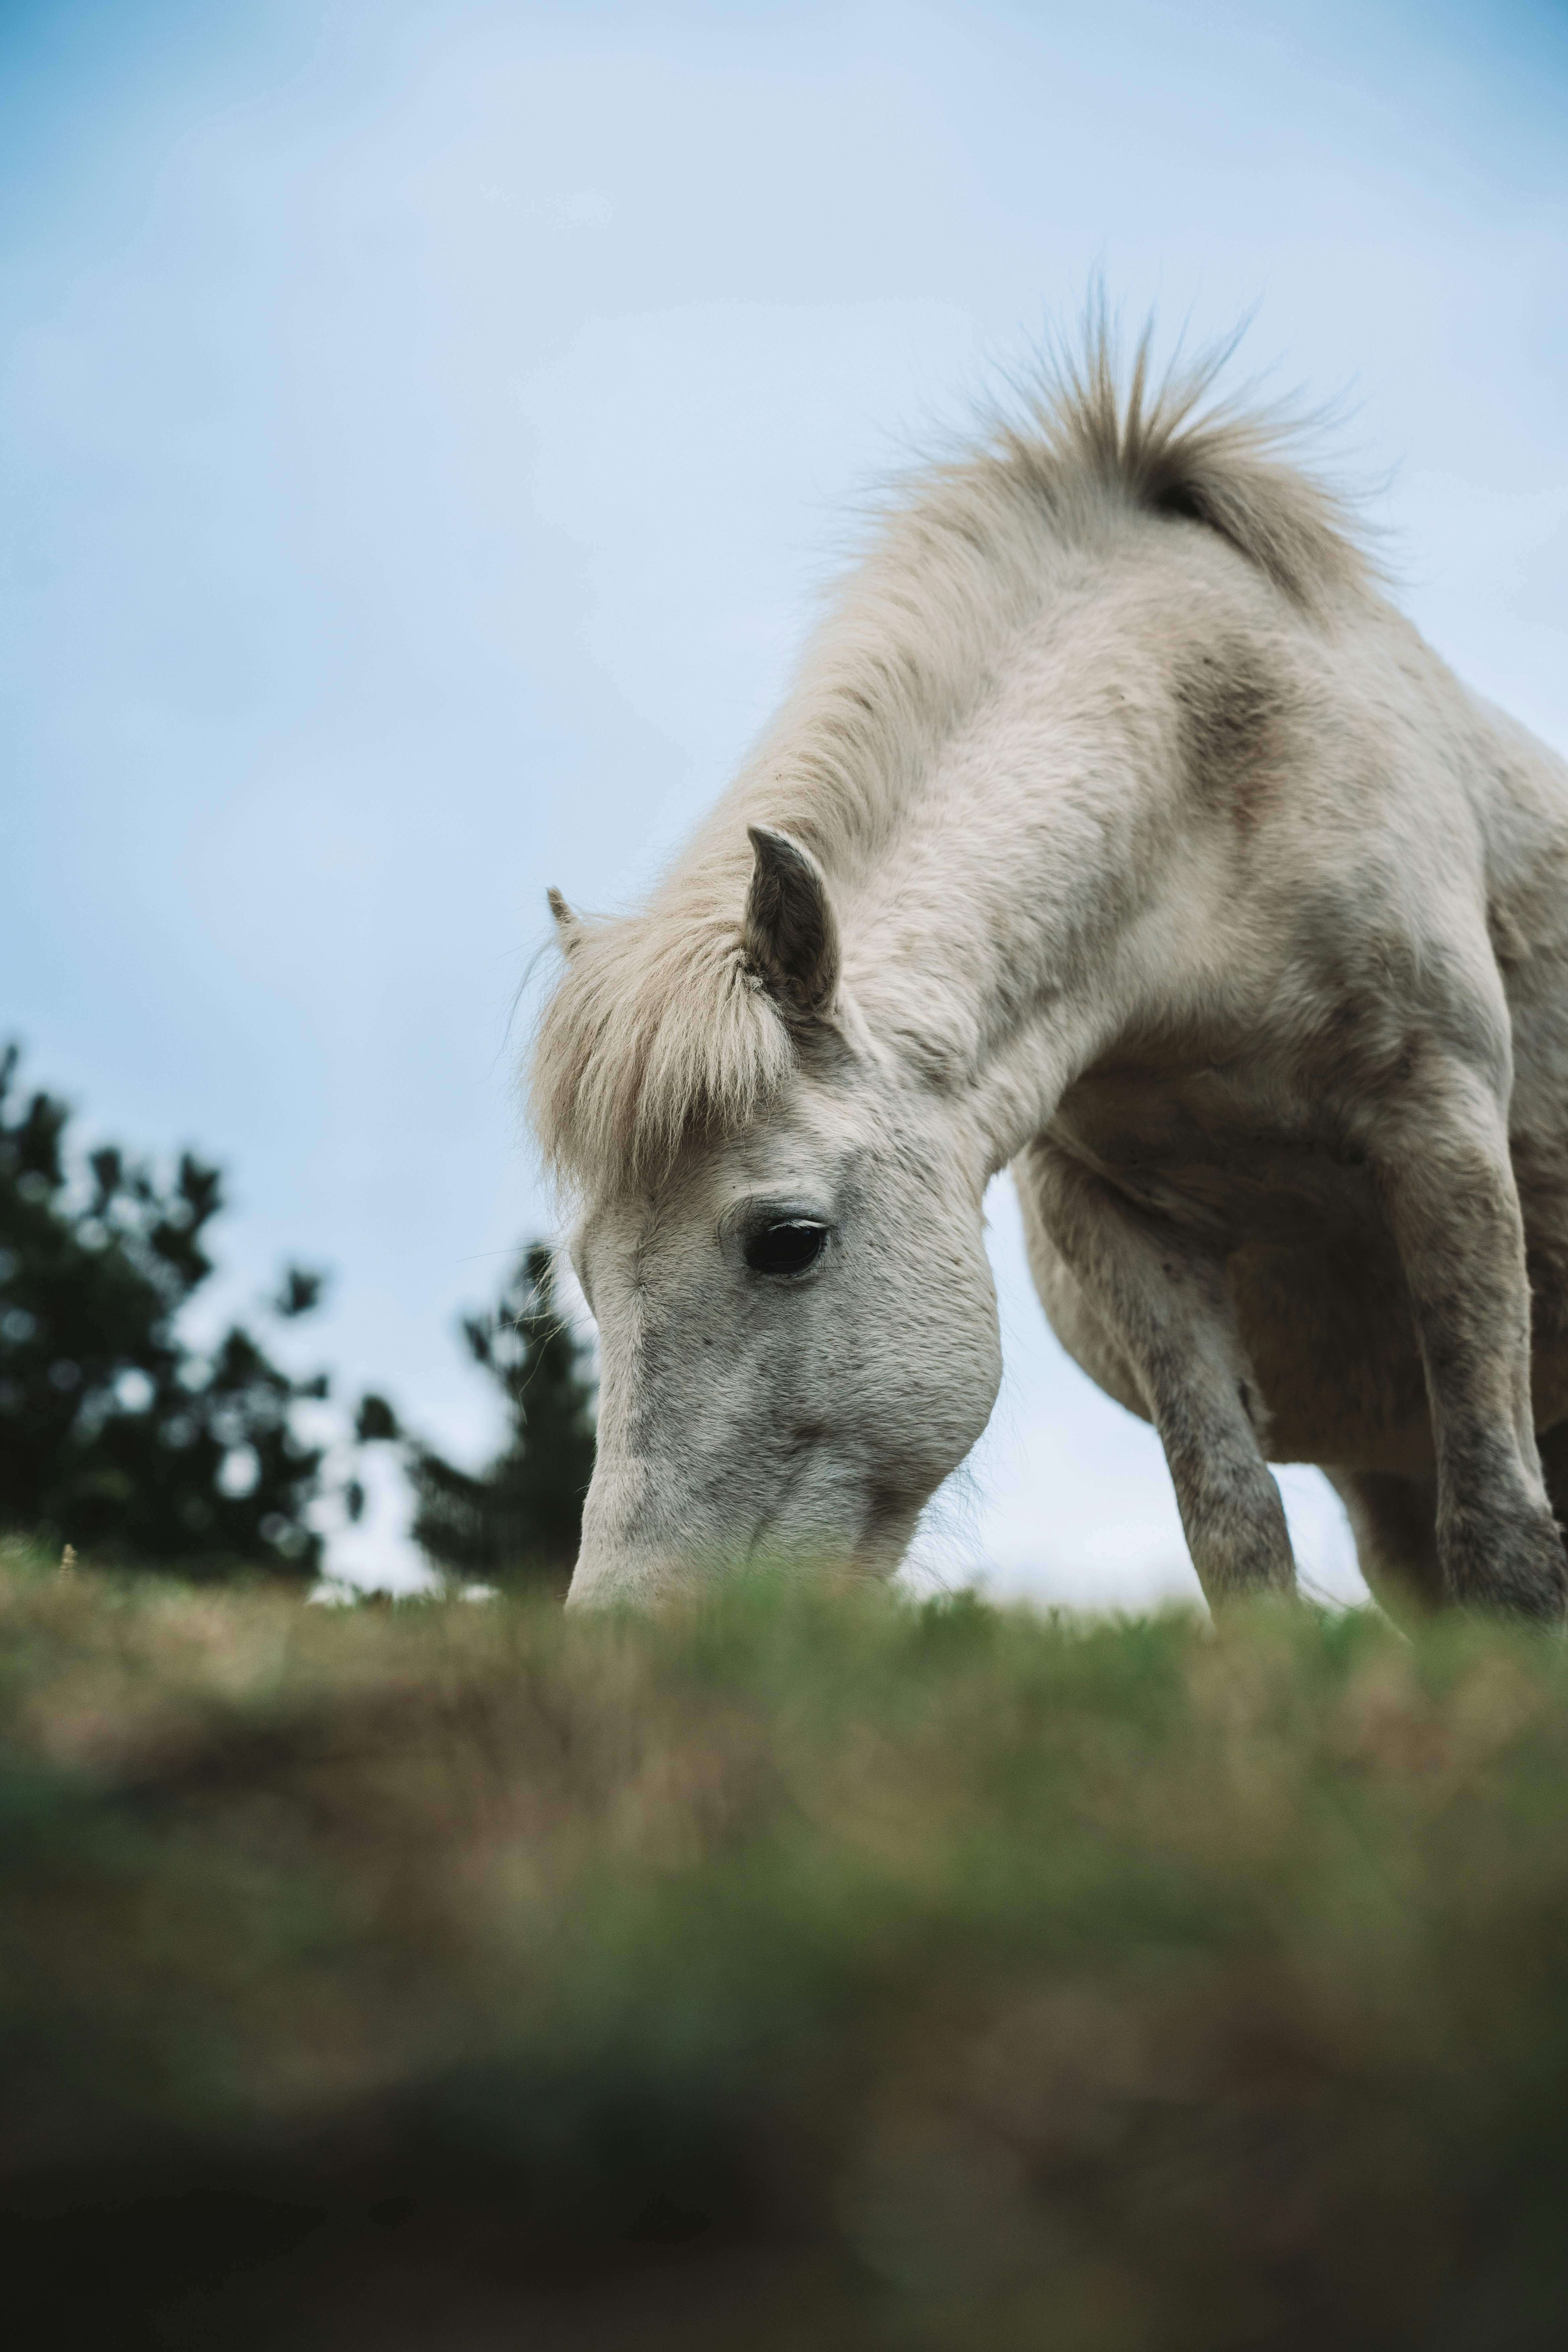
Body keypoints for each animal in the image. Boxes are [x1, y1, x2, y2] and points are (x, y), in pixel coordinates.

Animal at [531, 327, 1568, 1625]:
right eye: (584, 1272)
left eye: (786, 1238)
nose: (640, 1628)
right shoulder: (1120, 1226)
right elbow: (1238, 1540)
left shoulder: (1441, 1127)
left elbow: (1505, 1552)